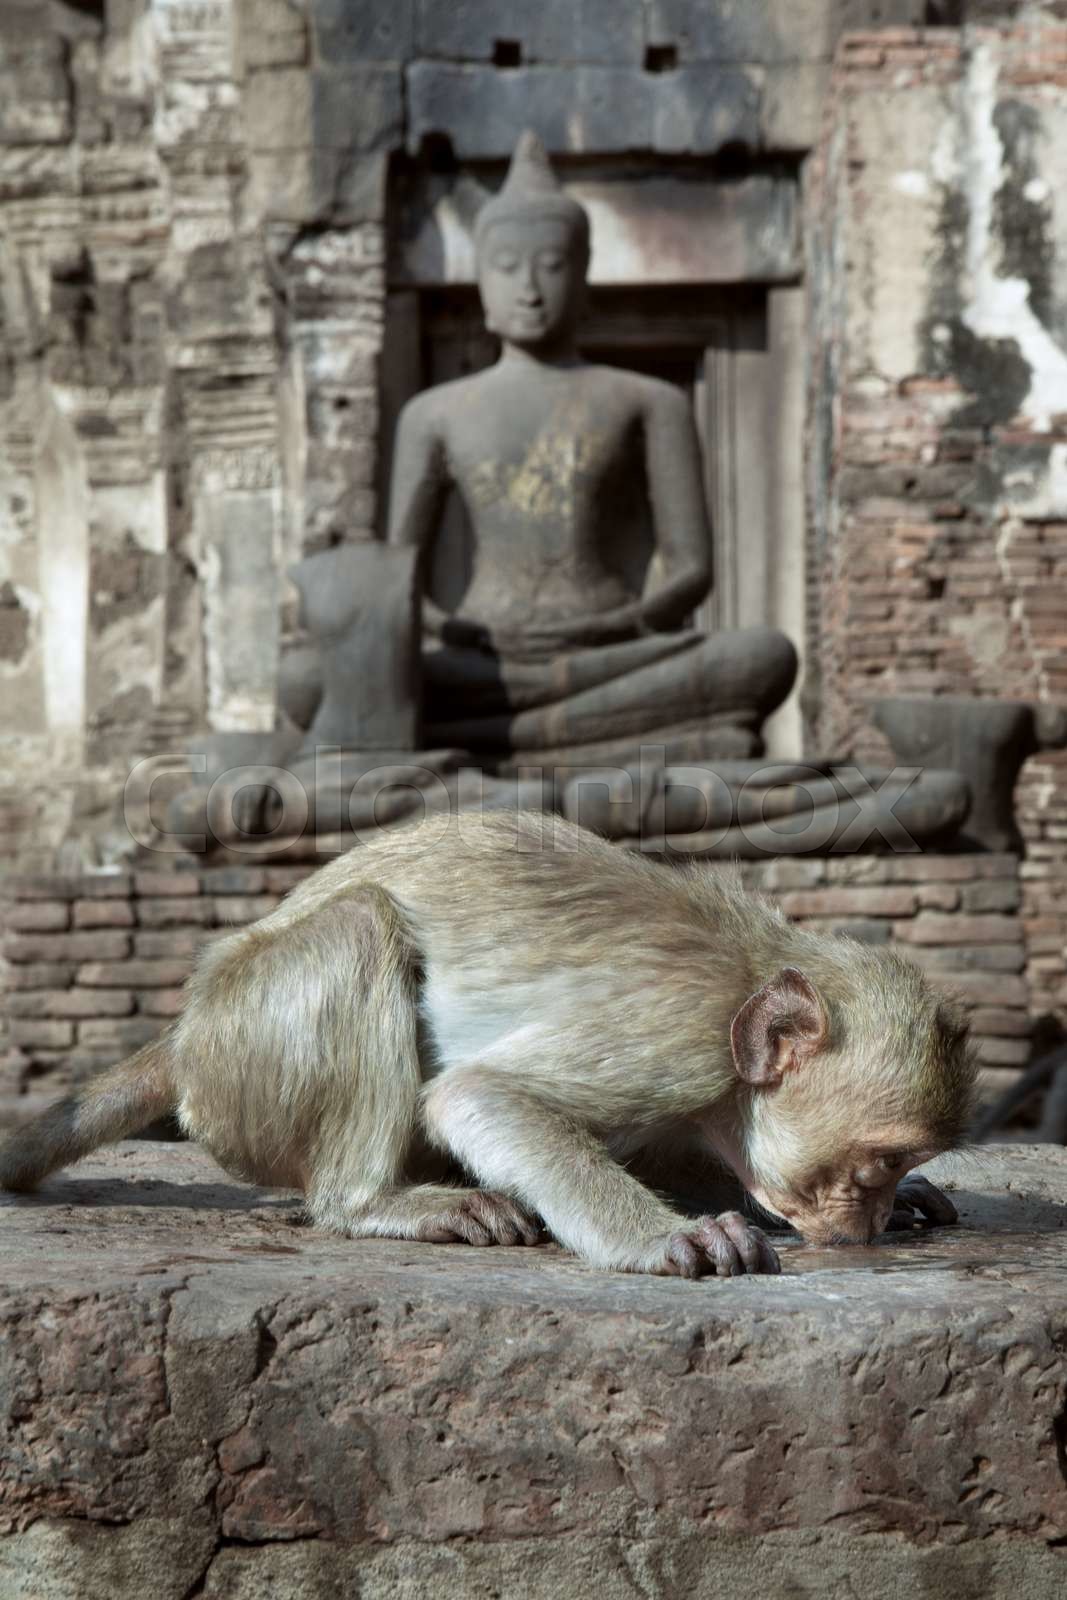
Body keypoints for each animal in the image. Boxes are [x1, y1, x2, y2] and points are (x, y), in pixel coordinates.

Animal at [0, 812, 974, 1278]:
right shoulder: (676, 1039)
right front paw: (665, 1238)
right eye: (876, 1161)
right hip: (241, 1045)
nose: (866, 1226)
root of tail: (186, 1031)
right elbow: (478, 1096)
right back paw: (375, 1203)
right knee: (358, 926)